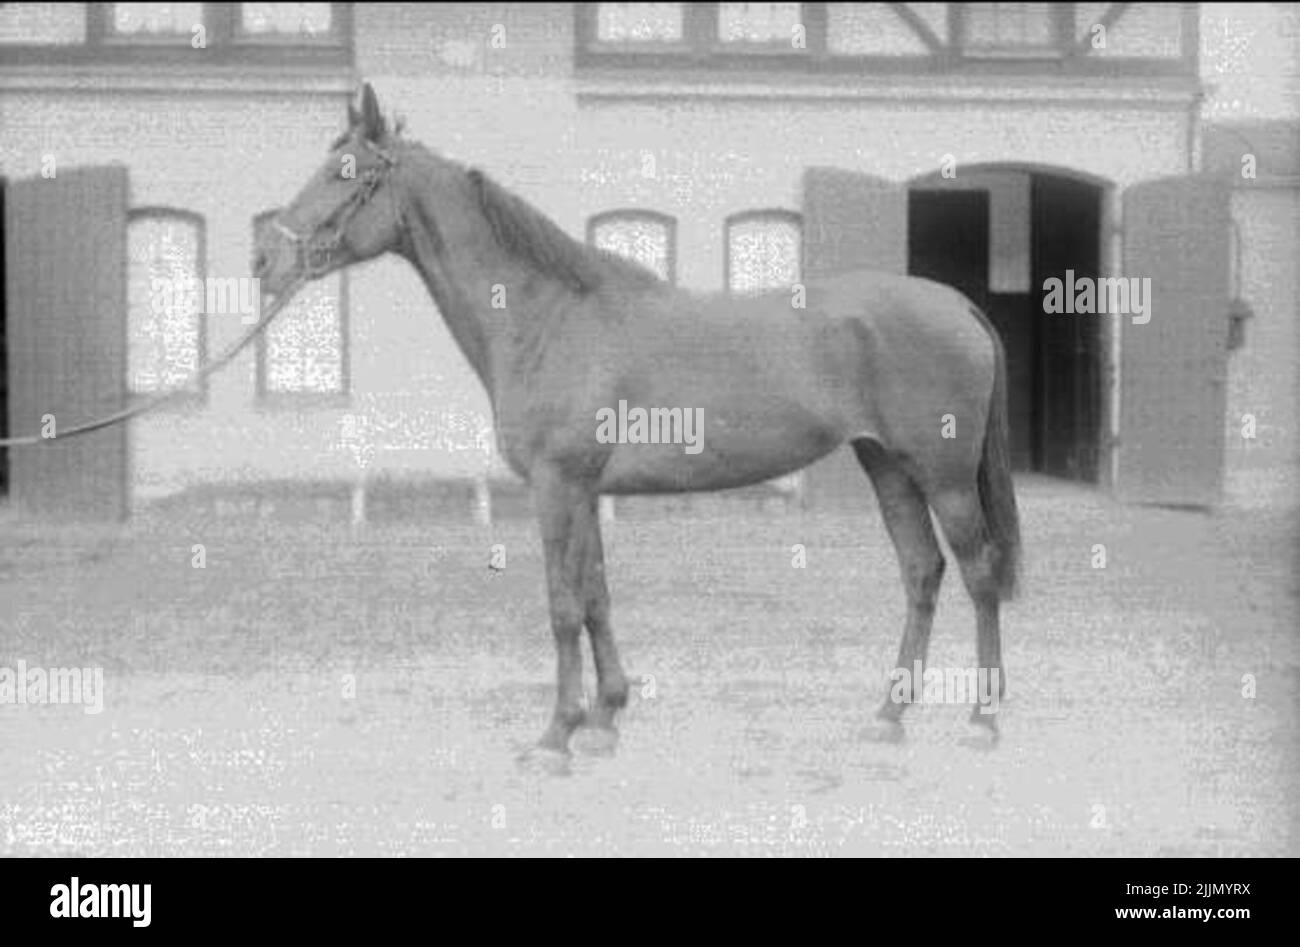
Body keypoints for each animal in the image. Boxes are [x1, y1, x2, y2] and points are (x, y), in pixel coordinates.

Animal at [253, 84, 1021, 768]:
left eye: (344, 170)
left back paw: (983, 722)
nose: (266, 258)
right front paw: (603, 719)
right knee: (921, 571)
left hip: (945, 478)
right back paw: (888, 716)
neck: (546, 317)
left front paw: (555, 737)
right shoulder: (586, 490)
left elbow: (563, 605)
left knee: (979, 573)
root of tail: (958, 304)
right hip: (887, 465)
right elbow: (596, 595)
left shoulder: (558, 486)